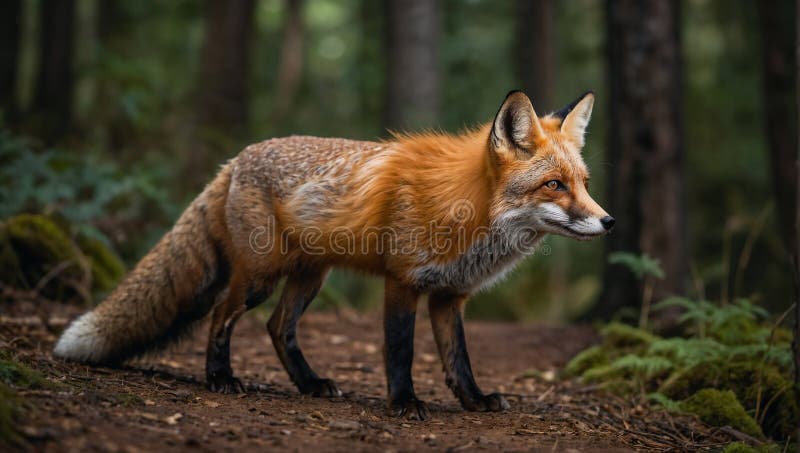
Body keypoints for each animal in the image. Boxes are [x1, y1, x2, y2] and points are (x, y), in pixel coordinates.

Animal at [53, 90, 613, 420]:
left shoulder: (449, 295)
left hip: (310, 279)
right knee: (220, 315)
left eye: (585, 184)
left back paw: (309, 384)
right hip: (259, 277)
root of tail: (236, 158)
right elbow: (399, 351)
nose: (609, 222)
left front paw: (473, 401)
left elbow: (458, 358)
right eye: (554, 185)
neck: (467, 209)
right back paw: (220, 378)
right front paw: (404, 403)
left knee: (277, 327)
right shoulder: (402, 281)